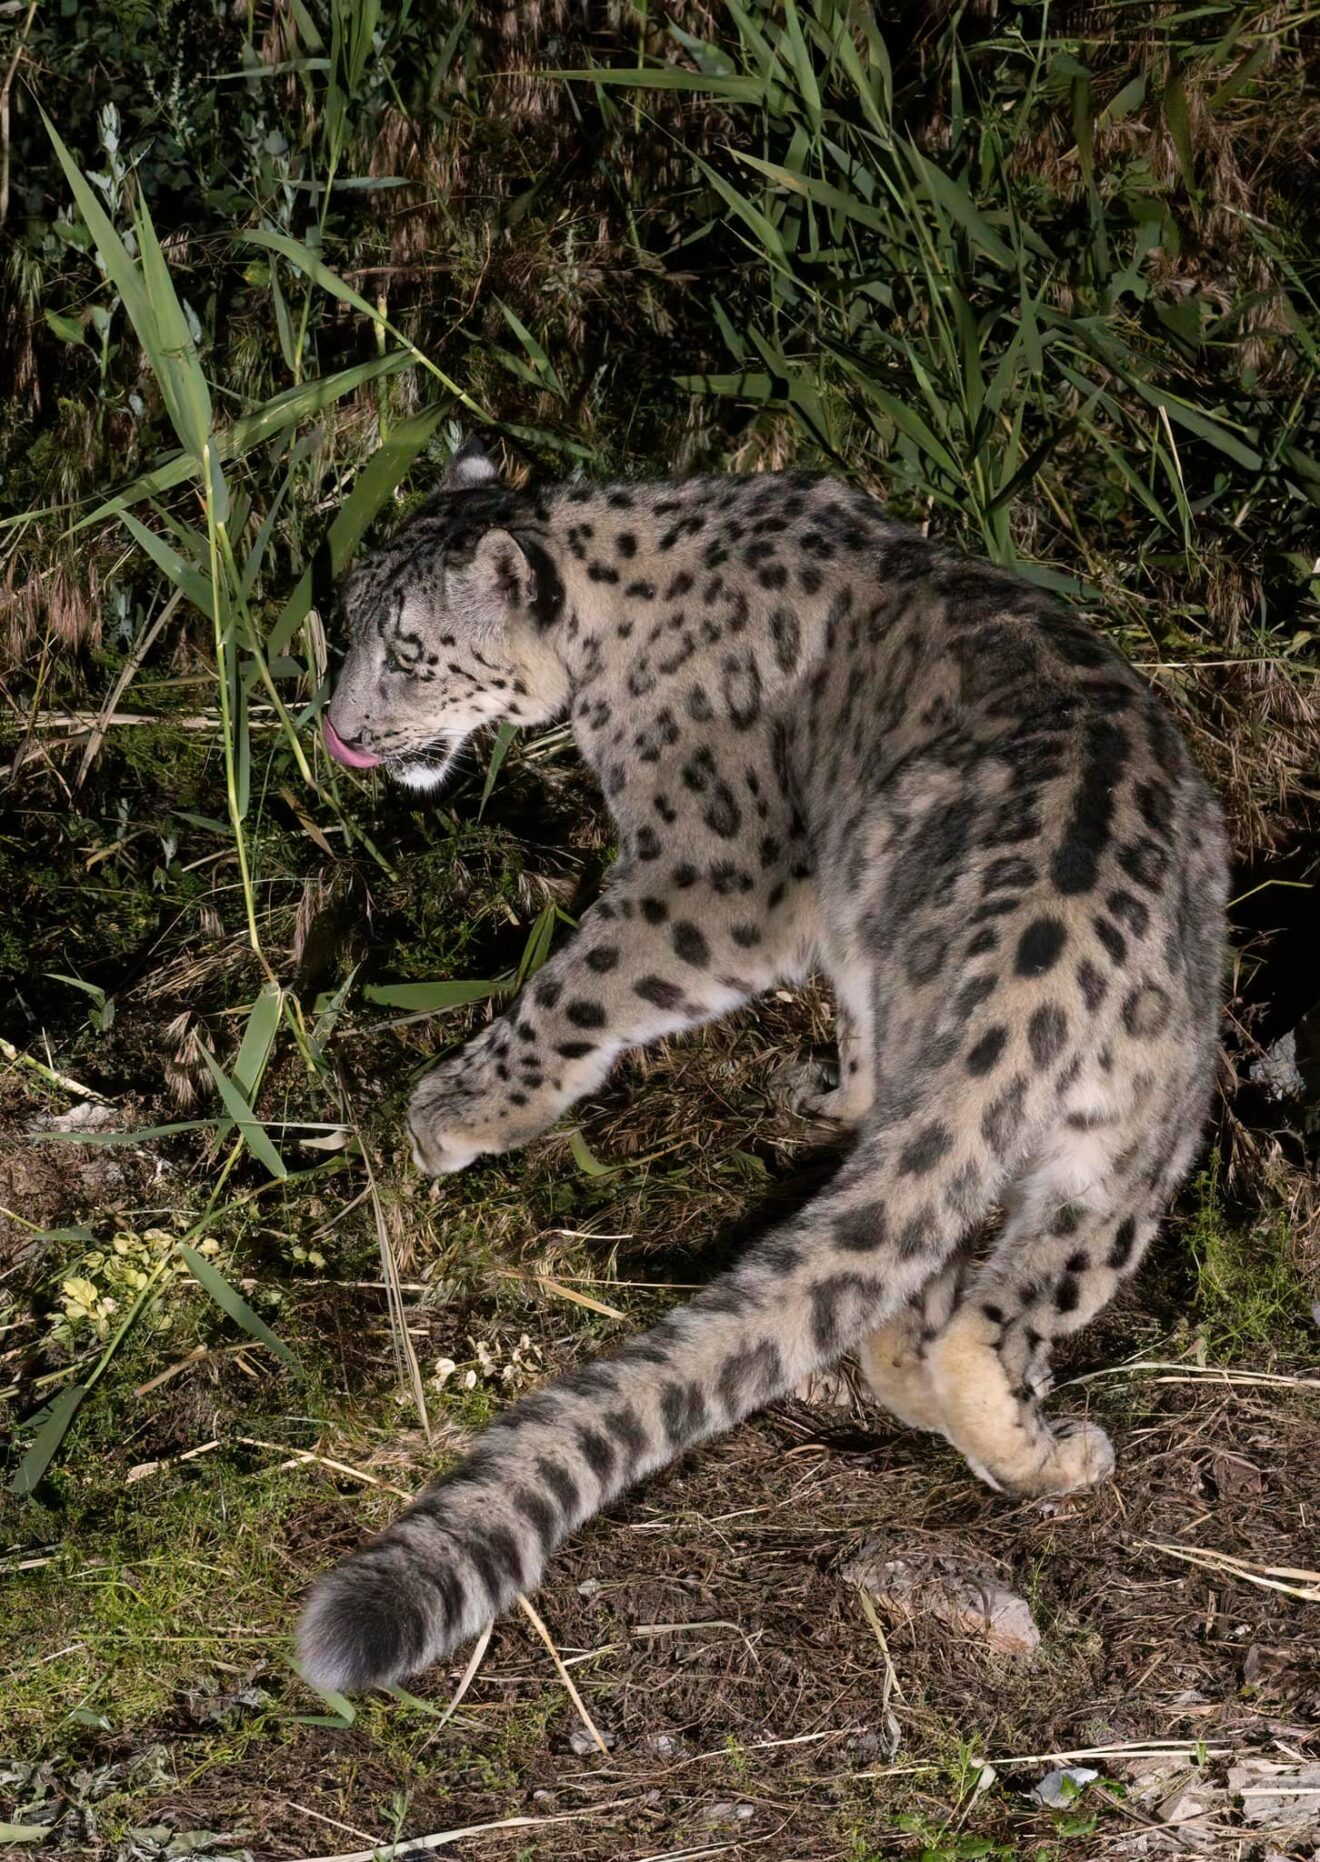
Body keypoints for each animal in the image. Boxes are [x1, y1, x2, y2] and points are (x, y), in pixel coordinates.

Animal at [299, 438, 1228, 1693]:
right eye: (350, 626)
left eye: (405, 649)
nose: (342, 731)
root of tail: (1038, 974)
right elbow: (849, 1020)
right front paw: (825, 1090)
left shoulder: (713, 874)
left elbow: (578, 987)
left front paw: (459, 1108)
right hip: (1118, 1138)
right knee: (953, 1290)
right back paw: (1024, 1447)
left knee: (949, 1307)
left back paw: (1034, 1444)